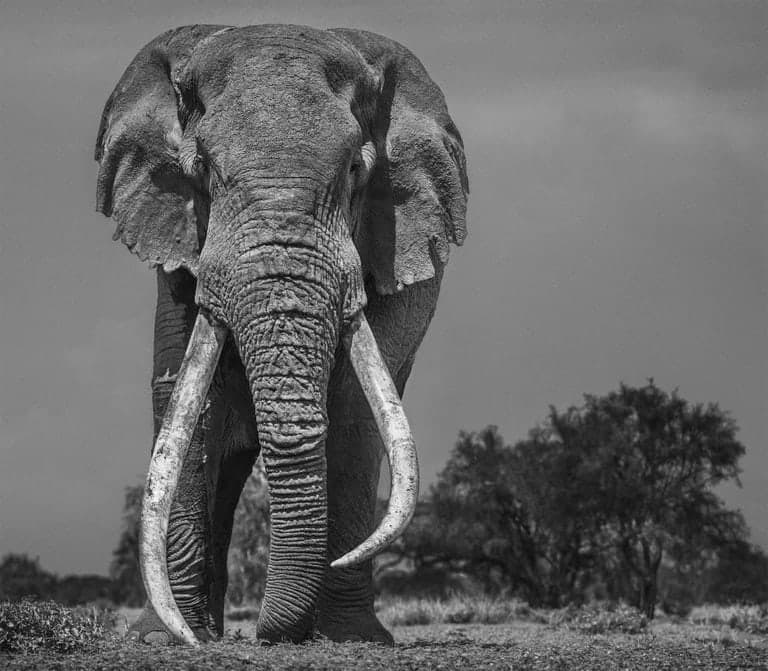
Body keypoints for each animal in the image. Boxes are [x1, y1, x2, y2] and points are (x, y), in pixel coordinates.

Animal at [94, 24, 468, 645]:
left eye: (354, 171)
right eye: (204, 171)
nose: (266, 635)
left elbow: (354, 404)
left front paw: (353, 638)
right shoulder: (176, 235)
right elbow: (182, 395)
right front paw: (164, 639)